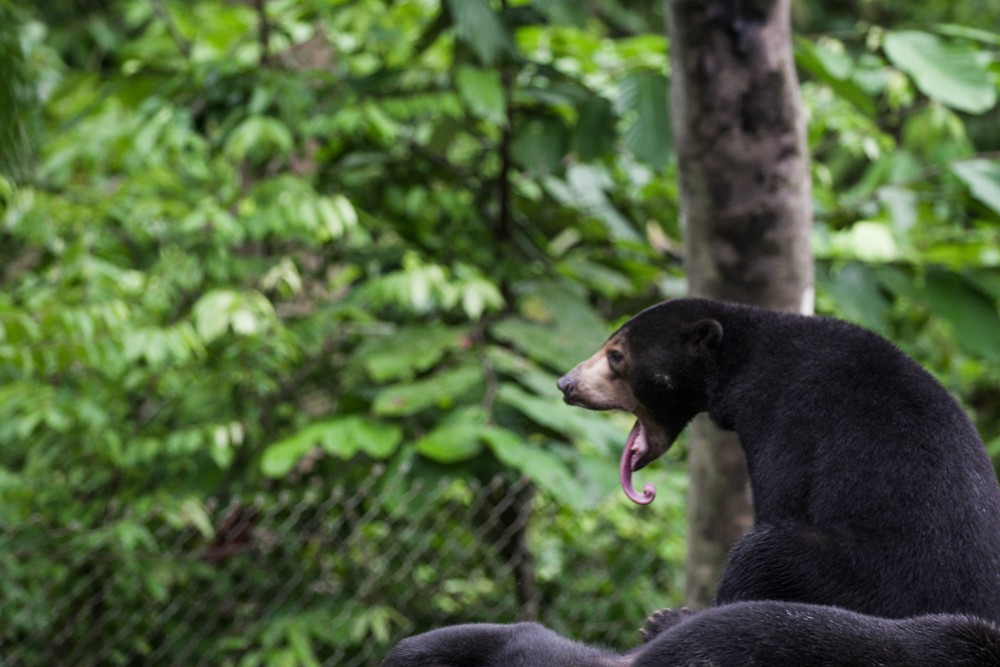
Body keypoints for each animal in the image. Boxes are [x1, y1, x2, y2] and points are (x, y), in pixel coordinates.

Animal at [382, 298, 1000, 665]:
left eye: (616, 355)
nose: (564, 384)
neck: (751, 354)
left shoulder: (788, 417)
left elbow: (779, 502)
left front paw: (674, 619)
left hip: (873, 577)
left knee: (766, 550)